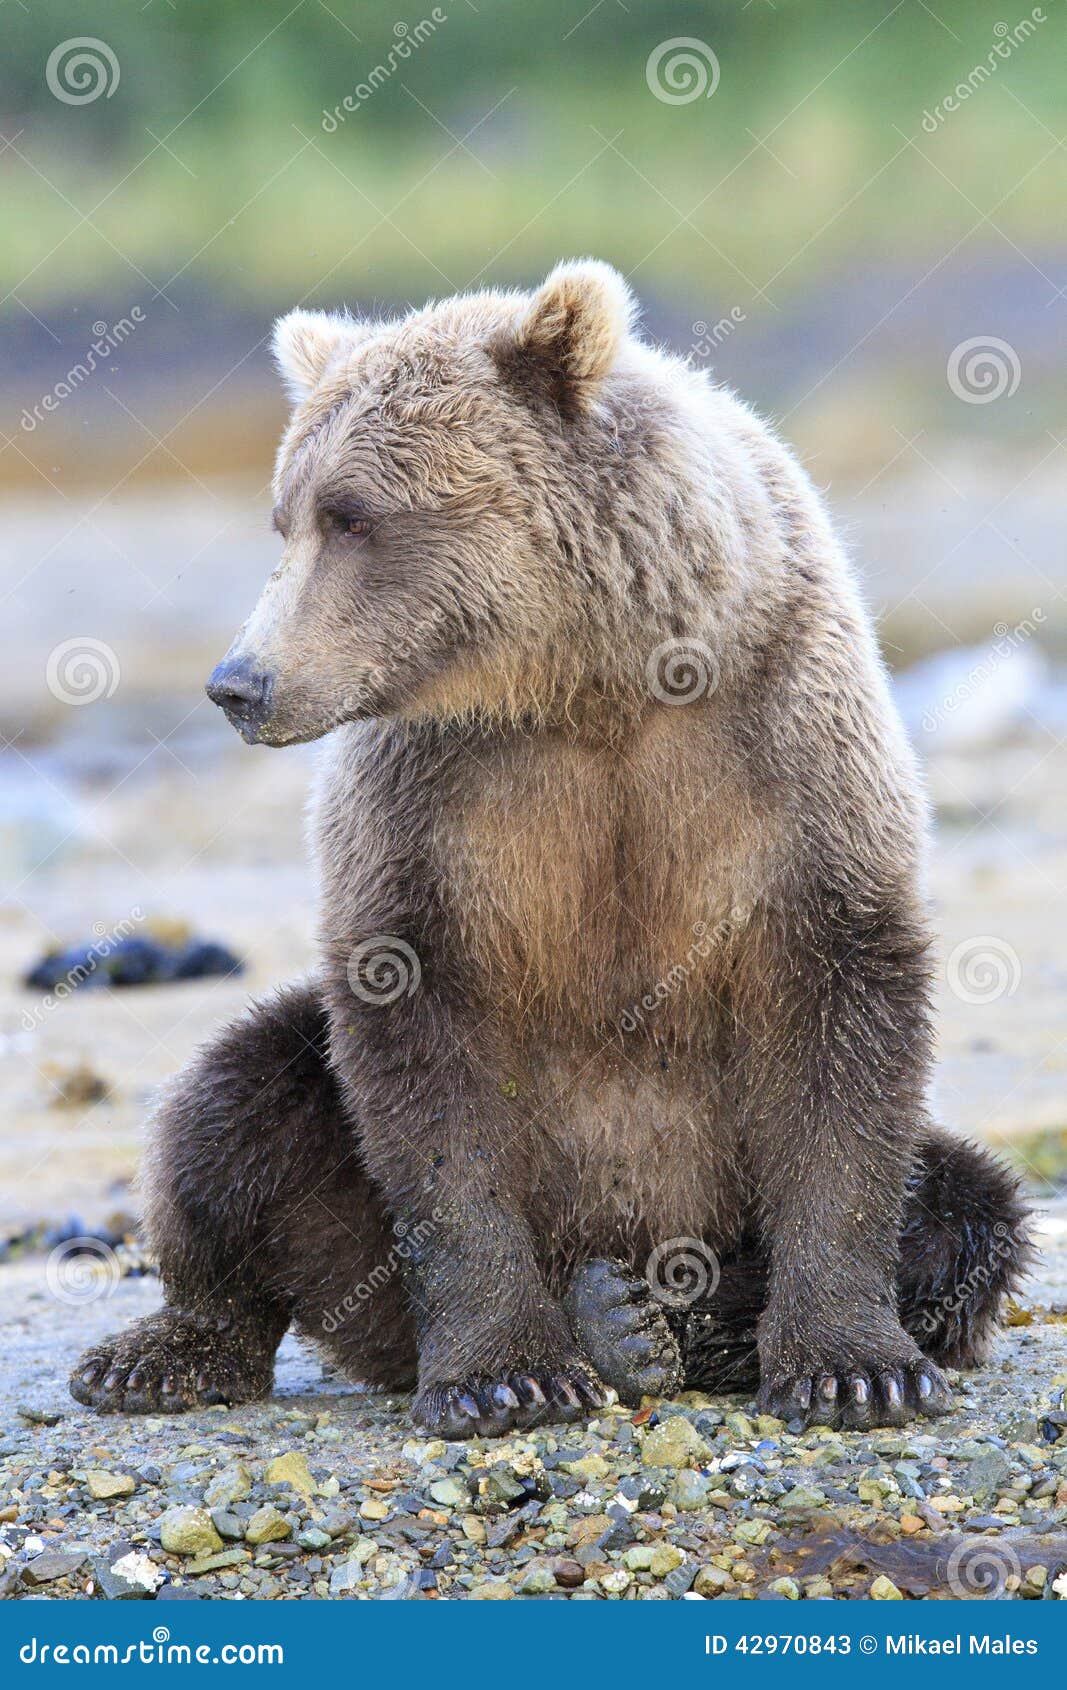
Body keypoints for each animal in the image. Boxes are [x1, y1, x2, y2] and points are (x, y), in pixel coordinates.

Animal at [70, 260, 1030, 1438]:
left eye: (353, 515)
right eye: (284, 517)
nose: (238, 683)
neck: (586, 681)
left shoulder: (780, 746)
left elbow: (840, 1039)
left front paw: (854, 1368)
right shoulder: (435, 804)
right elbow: (424, 1065)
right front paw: (504, 1374)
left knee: (966, 1208)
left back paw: (653, 1315)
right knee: (231, 1101)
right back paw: (170, 1352)